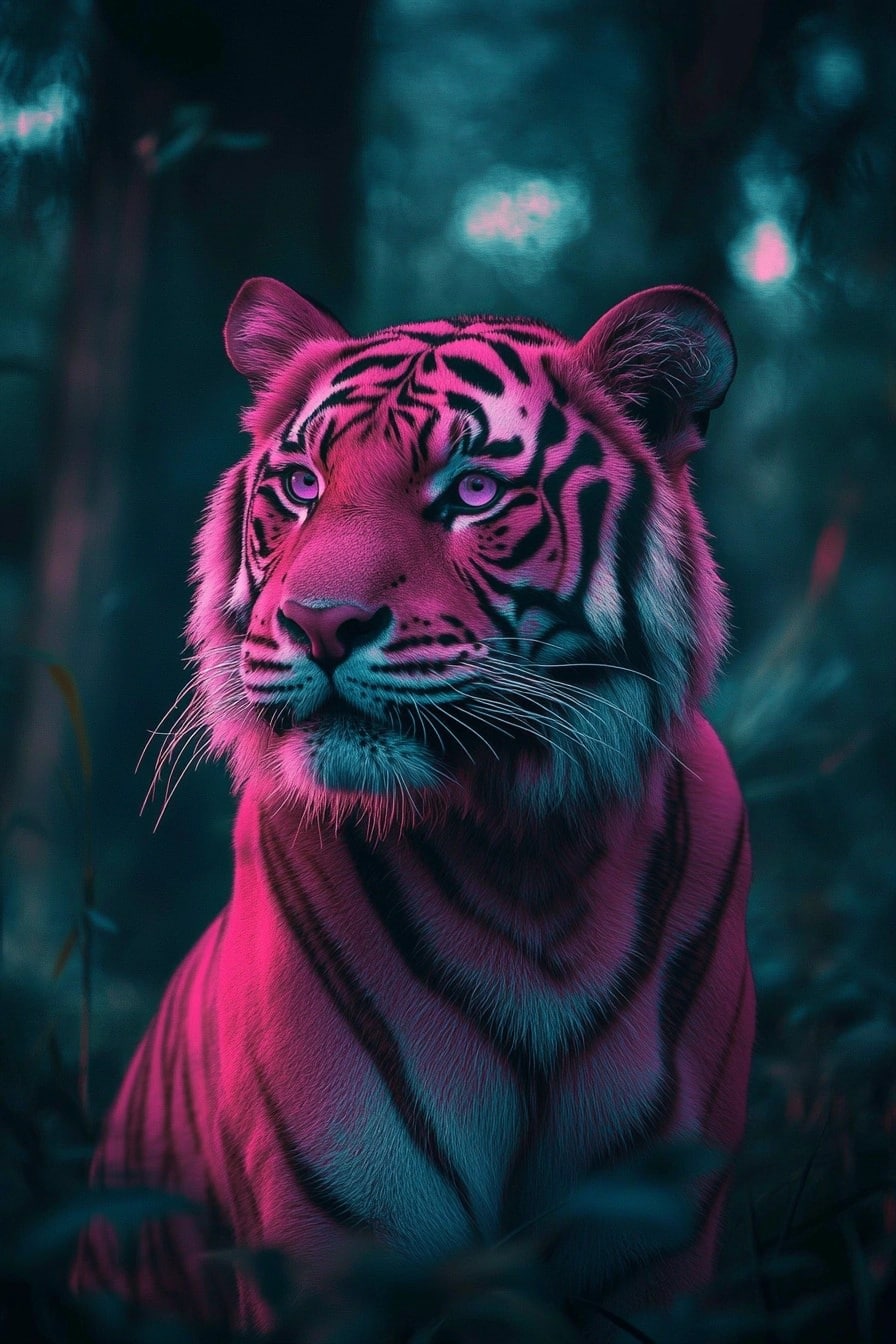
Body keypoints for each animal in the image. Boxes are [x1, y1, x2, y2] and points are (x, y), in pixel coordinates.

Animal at [72, 277, 754, 1336]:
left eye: (472, 492)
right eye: (302, 484)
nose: (318, 624)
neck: (529, 863)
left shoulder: (653, 1255)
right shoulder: (332, 1247)